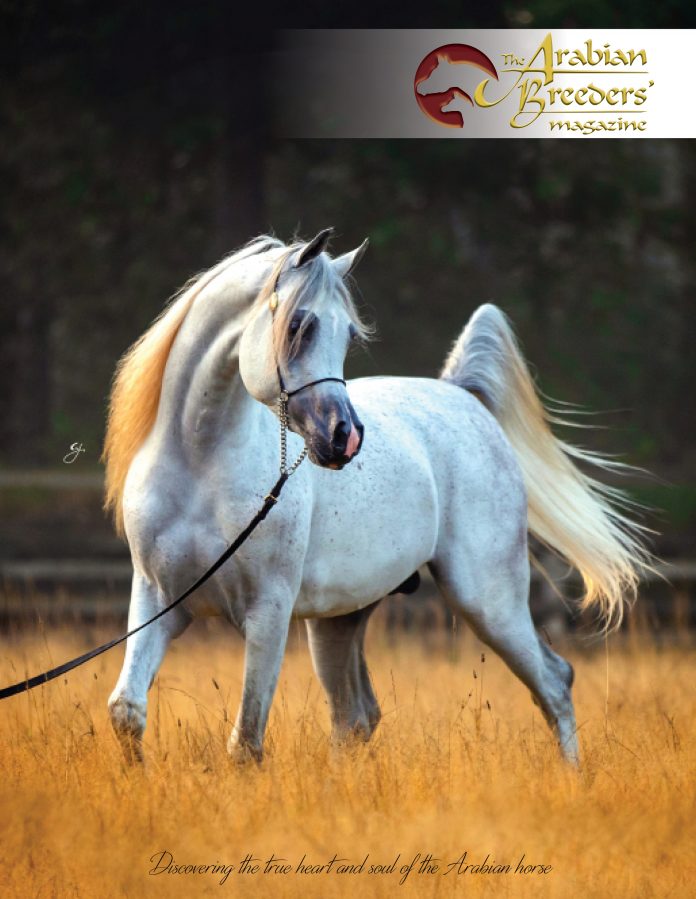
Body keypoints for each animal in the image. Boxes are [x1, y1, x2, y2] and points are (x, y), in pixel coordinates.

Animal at [102, 229, 649, 765]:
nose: (343, 436)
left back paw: (572, 777)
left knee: (554, 682)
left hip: (490, 601)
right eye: (298, 324)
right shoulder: (159, 600)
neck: (201, 469)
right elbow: (126, 711)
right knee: (355, 719)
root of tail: (462, 396)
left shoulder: (268, 613)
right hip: (338, 622)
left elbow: (246, 743)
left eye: (348, 333)